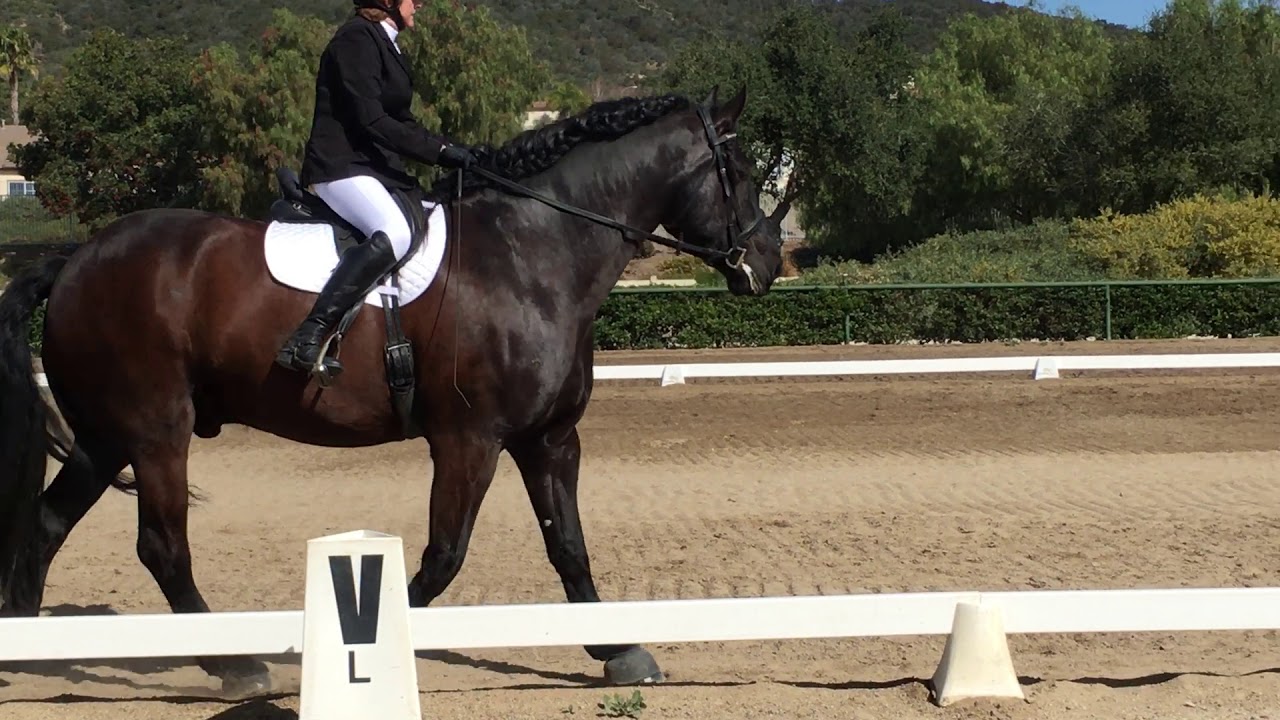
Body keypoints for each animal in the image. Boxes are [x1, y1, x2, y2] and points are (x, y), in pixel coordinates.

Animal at [0, 85, 783, 697]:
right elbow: (444, 555)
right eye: (743, 169)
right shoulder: (470, 440)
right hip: (156, 430)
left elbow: (568, 546)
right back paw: (237, 665)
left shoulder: (549, 439)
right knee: (162, 545)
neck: (534, 255)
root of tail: (76, 258)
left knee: (45, 524)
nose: (767, 264)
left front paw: (616, 650)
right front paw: (363, 654)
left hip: (106, 436)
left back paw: (26, 649)